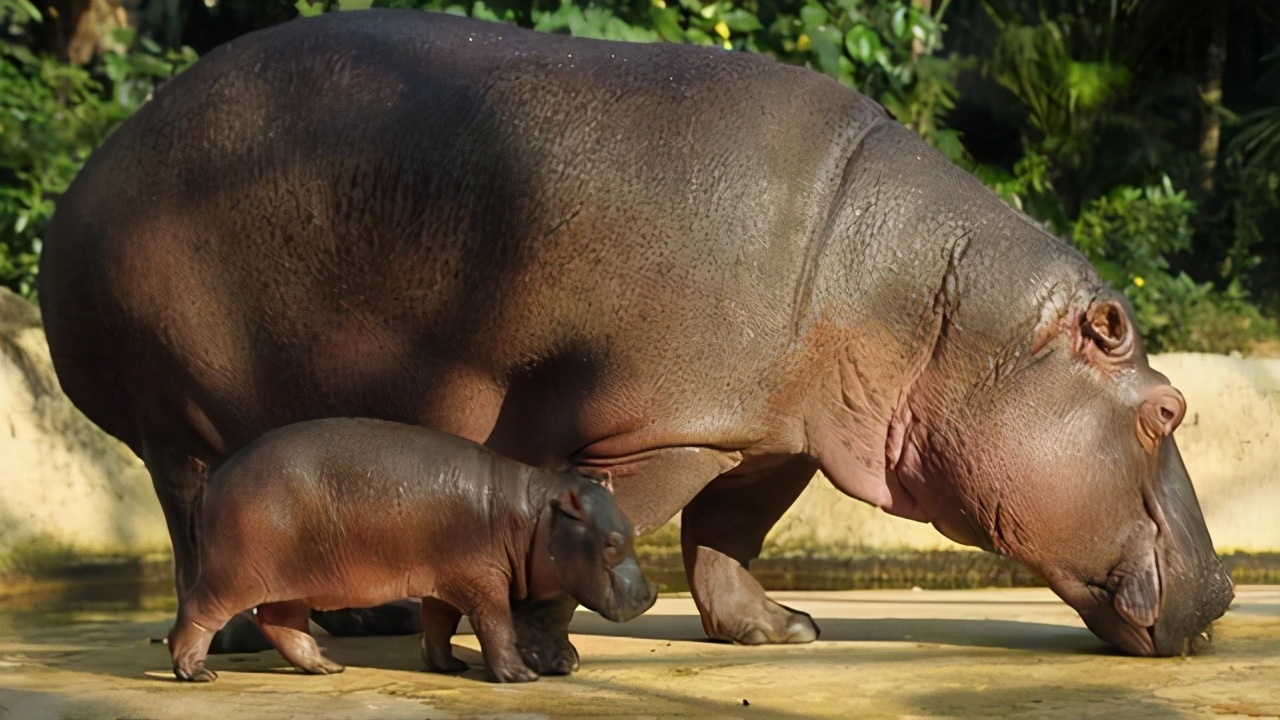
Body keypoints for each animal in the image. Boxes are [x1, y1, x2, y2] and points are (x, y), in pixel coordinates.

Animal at [169, 417, 654, 683]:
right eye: (610, 542)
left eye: (630, 530)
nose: (649, 595)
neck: (532, 511)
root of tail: (216, 473)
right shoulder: (483, 580)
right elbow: (495, 626)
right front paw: (520, 676)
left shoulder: (448, 580)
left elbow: (439, 625)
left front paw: (449, 667)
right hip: (233, 574)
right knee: (197, 612)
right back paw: (195, 672)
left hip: (291, 579)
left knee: (281, 623)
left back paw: (327, 668)